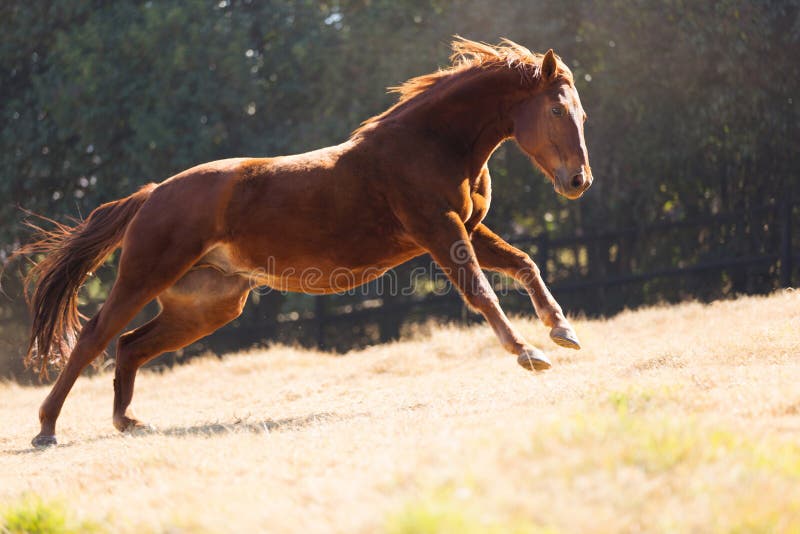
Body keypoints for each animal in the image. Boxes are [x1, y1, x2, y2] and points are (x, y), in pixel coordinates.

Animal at [14, 38, 592, 447]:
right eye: (556, 111)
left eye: (580, 113)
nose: (578, 181)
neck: (428, 143)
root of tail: (152, 194)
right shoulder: (439, 231)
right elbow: (482, 292)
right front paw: (528, 353)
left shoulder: (467, 228)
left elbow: (524, 263)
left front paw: (562, 330)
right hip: (144, 275)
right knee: (95, 337)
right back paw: (46, 429)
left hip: (207, 306)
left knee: (130, 345)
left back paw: (129, 422)